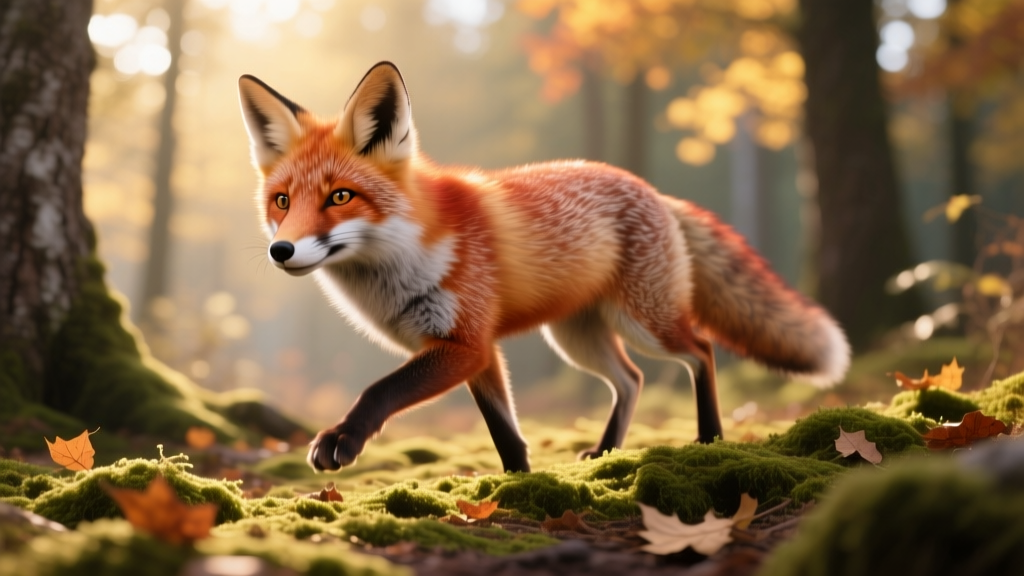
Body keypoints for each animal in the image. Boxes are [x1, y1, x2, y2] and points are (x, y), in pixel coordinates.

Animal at [237, 61, 850, 474]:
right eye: (283, 202)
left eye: (340, 197)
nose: (281, 251)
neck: (397, 263)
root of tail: (652, 190)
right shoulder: (476, 352)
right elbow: (505, 432)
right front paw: (518, 485)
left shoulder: (466, 343)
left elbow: (379, 389)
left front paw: (344, 437)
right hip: (577, 338)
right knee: (631, 379)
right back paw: (605, 451)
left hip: (645, 324)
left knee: (700, 351)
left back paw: (710, 438)